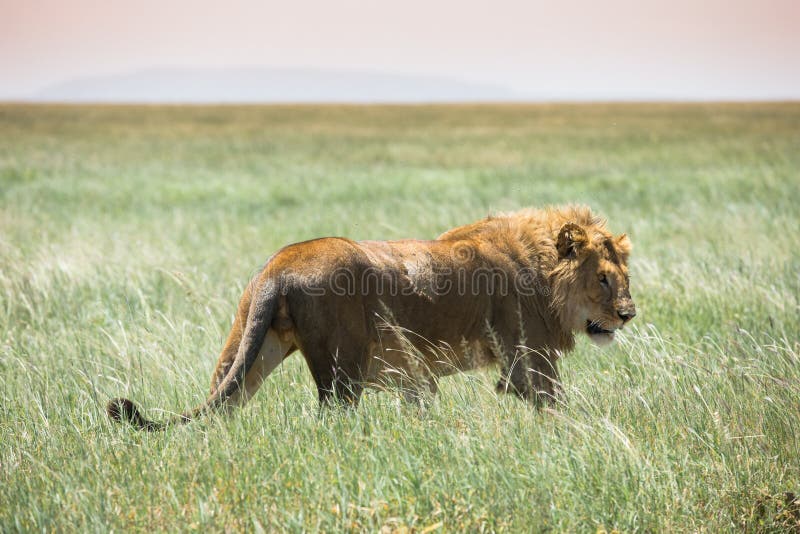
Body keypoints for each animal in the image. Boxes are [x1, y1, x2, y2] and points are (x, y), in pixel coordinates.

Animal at [107, 204, 635, 430]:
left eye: (624, 276)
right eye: (603, 279)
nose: (628, 315)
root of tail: (280, 268)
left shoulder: (415, 376)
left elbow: (420, 405)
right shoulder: (529, 357)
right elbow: (554, 404)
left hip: (248, 346)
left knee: (223, 400)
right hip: (343, 371)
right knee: (330, 419)